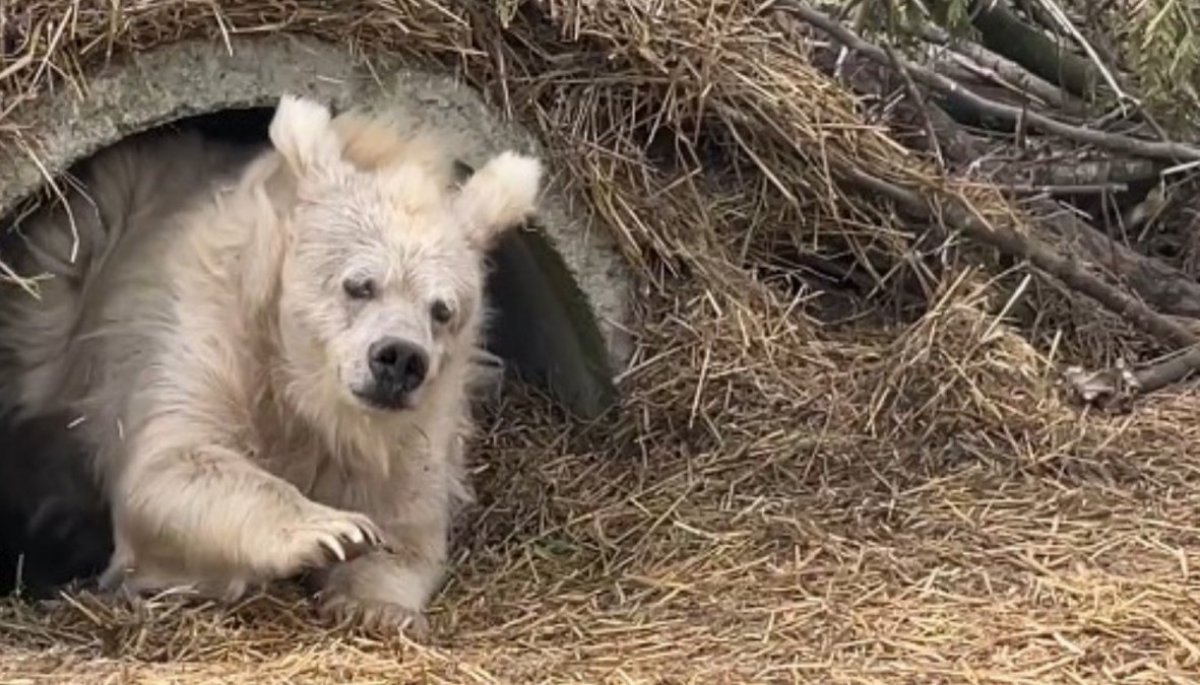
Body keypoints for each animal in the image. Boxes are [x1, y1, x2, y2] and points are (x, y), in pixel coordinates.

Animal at [0, 94, 543, 636]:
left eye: (442, 310)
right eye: (359, 284)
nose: (400, 359)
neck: (301, 388)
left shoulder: (423, 420)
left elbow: (409, 525)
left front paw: (378, 606)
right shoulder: (211, 335)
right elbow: (172, 464)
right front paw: (333, 529)